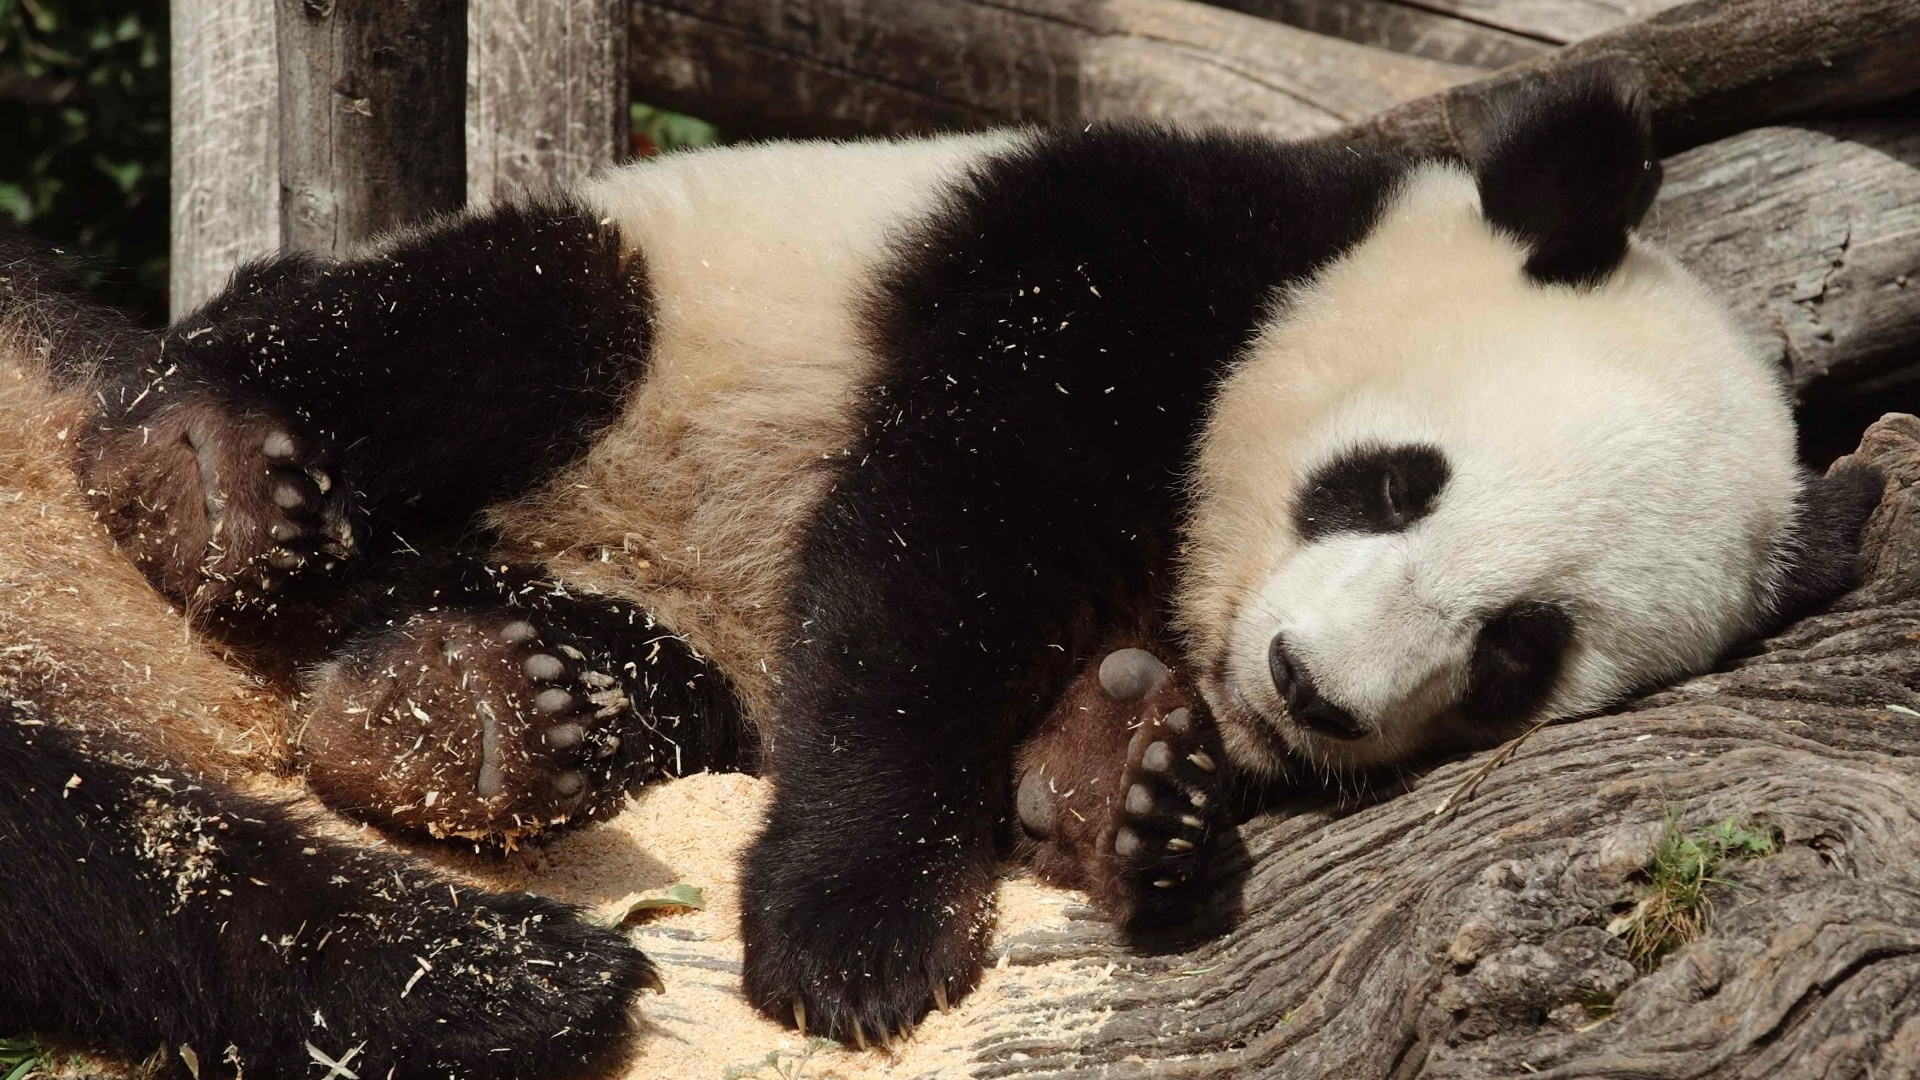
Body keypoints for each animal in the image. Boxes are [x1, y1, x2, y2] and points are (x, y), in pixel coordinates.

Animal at [67, 71, 1880, 1051]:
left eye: (1519, 652)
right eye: (1388, 485)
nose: (1310, 689)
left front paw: (1131, 788)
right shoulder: (1110, 267)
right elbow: (936, 562)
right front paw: (859, 937)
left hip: (637, 622)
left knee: (612, 664)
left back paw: (461, 710)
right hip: (643, 304)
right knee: (507, 320)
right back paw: (204, 480)